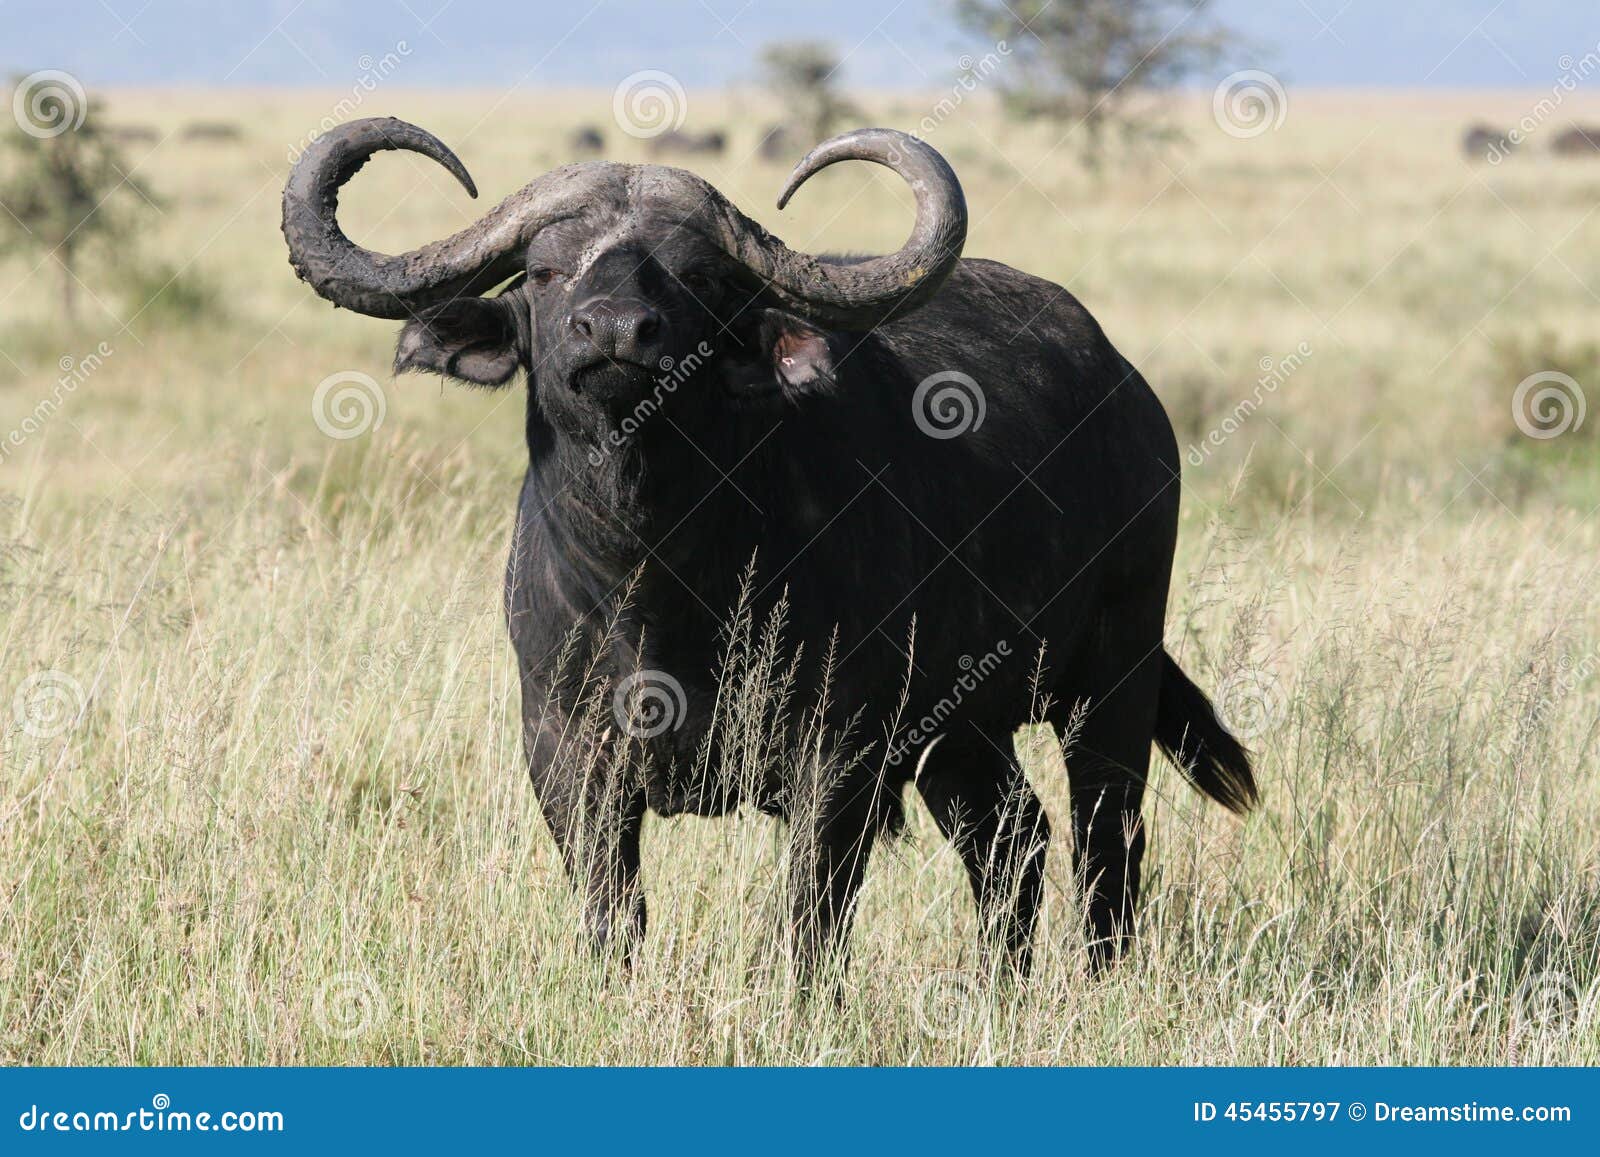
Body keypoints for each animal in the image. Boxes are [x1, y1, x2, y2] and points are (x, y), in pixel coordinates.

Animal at [282, 117, 1256, 980]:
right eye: (548, 270)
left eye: (696, 277)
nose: (615, 331)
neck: (657, 578)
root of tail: (1129, 393)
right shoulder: (564, 751)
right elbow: (612, 910)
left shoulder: (841, 752)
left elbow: (812, 914)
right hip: (963, 728)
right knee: (1012, 837)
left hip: (1113, 675)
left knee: (1107, 838)